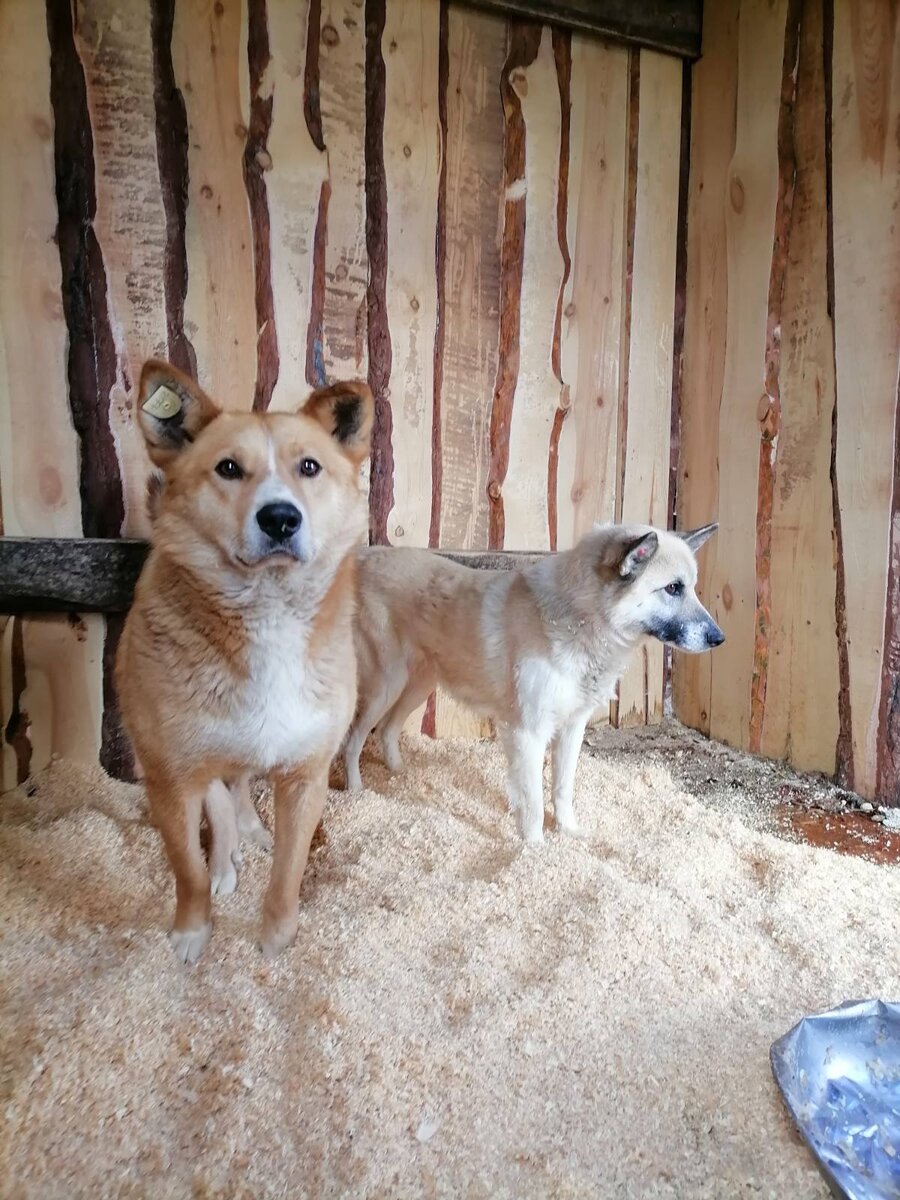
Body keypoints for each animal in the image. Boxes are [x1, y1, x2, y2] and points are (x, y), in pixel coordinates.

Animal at [345, 525, 724, 844]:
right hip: (385, 687)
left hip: (418, 685)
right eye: (672, 588)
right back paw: (355, 794)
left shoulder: (572, 729)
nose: (719, 638)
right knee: (354, 739)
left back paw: (400, 777)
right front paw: (533, 849)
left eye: (691, 588)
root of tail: (366, 556)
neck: (580, 621)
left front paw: (569, 832)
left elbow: (562, 789)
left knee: (387, 731)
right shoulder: (528, 735)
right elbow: (533, 803)